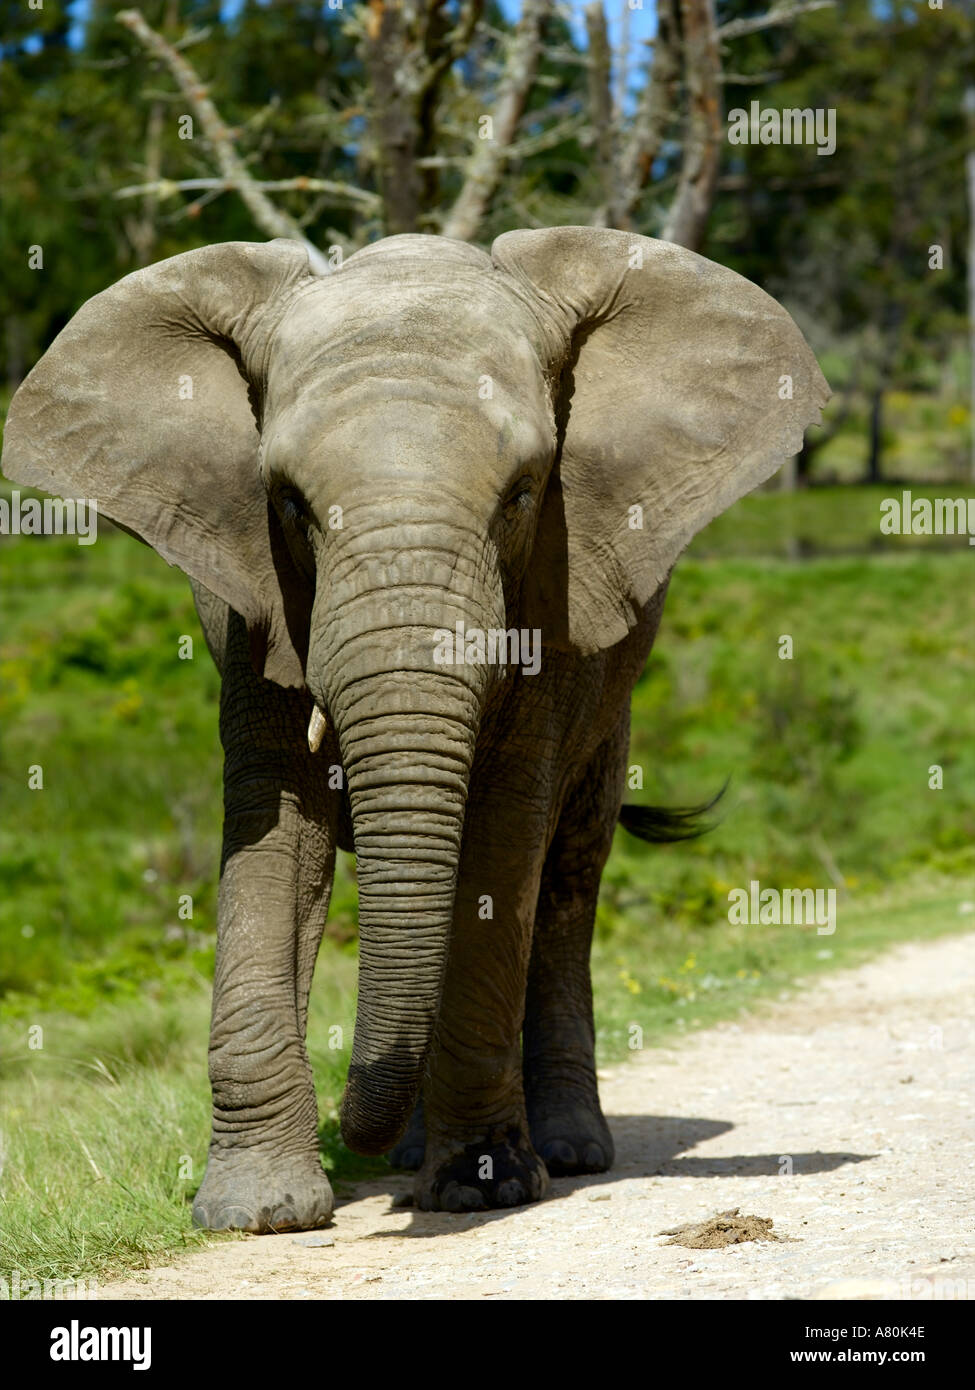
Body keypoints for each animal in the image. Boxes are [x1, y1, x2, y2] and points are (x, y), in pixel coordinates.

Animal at [1, 227, 828, 1229]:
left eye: (522, 494)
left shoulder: (556, 592)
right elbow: (275, 834)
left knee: (568, 876)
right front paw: (256, 1211)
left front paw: (484, 1186)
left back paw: (561, 1149)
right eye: (287, 501)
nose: (349, 1137)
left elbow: (504, 834)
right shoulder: (249, 605)